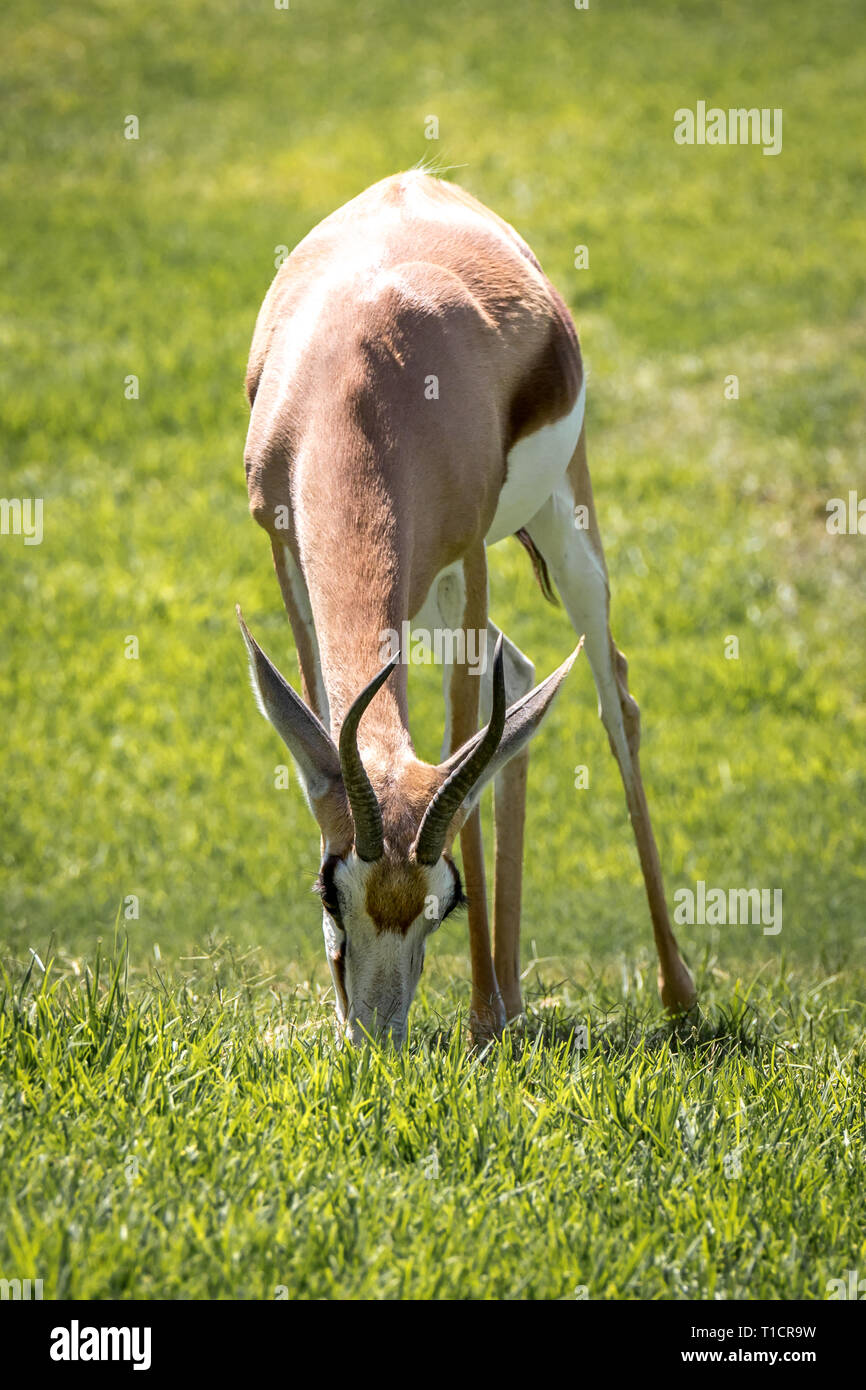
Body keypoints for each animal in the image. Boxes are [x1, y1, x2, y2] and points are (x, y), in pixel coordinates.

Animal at [238, 170, 696, 1047]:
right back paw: (518, 997)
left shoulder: (471, 558)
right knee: (519, 675)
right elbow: (327, 719)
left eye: (440, 904)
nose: (376, 1039)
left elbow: (463, 748)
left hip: (560, 525)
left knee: (611, 696)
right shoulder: (288, 558)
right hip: (434, 590)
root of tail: (420, 181)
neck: (363, 379)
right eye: (329, 890)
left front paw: (482, 1022)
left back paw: (674, 999)